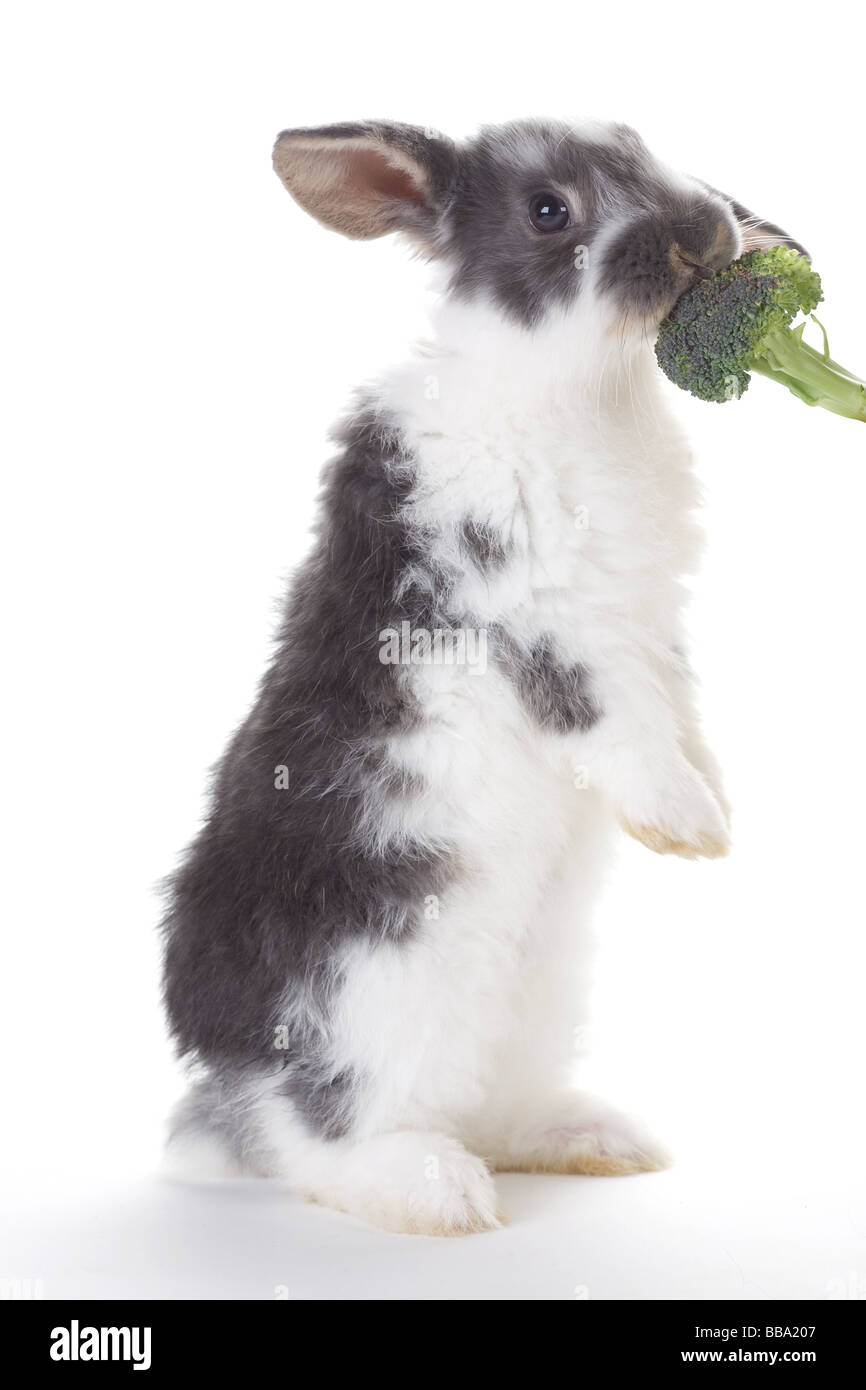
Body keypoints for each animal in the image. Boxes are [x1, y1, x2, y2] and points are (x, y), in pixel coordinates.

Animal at [161, 118, 796, 1235]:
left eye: (636, 142)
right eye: (548, 211)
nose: (699, 234)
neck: (573, 388)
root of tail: (224, 1097)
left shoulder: (652, 626)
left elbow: (679, 716)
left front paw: (711, 809)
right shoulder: (532, 622)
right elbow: (616, 723)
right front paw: (688, 829)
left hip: (532, 1002)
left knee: (492, 1108)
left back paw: (596, 1140)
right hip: (368, 996)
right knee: (318, 1137)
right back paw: (436, 1192)